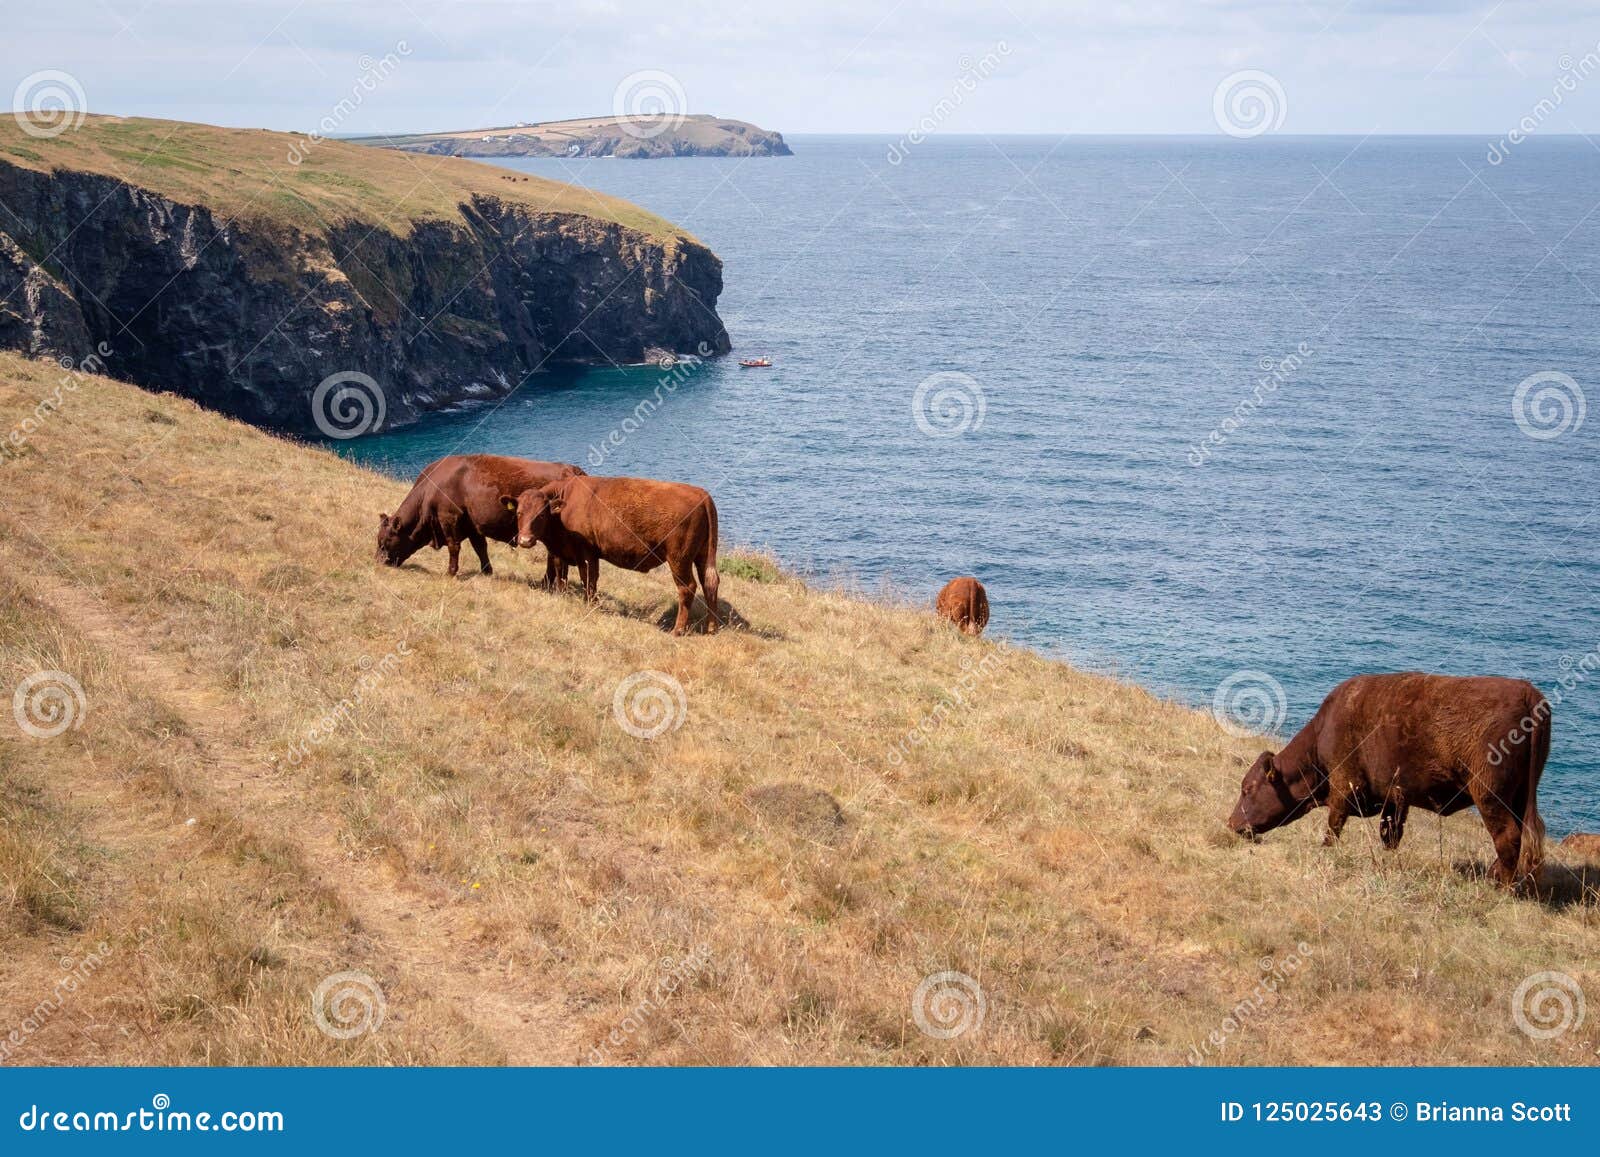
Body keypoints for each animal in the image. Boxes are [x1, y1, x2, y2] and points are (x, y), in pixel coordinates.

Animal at [377, 455, 584, 582]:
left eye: (385, 541)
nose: (378, 562)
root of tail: (573, 470)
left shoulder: (449, 519)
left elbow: (454, 547)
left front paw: (450, 573)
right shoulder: (472, 525)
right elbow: (480, 548)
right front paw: (486, 571)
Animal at [506, 475, 720, 635]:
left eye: (541, 514)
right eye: (519, 513)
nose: (525, 540)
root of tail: (702, 494)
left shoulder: (586, 552)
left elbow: (588, 578)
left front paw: (590, 603)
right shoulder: (564, 553)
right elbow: (563, 574)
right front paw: (564, 595)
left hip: (678, 559)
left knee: (687, 587)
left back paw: (678, 630)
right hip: (702, 556)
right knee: (709, 583)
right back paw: (711, 628)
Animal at [1227, 672, 1548, 887]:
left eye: (1248, 788)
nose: (1232, 824)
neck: (1323, 732)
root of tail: (1528, 693)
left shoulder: (1343, 788)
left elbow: (1334, 826)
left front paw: (1326, 851)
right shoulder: (1395, 798)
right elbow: (1390, 834)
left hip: (1490, 797)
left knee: (1508, 837)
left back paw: (1498, 887)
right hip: (1518, 797)